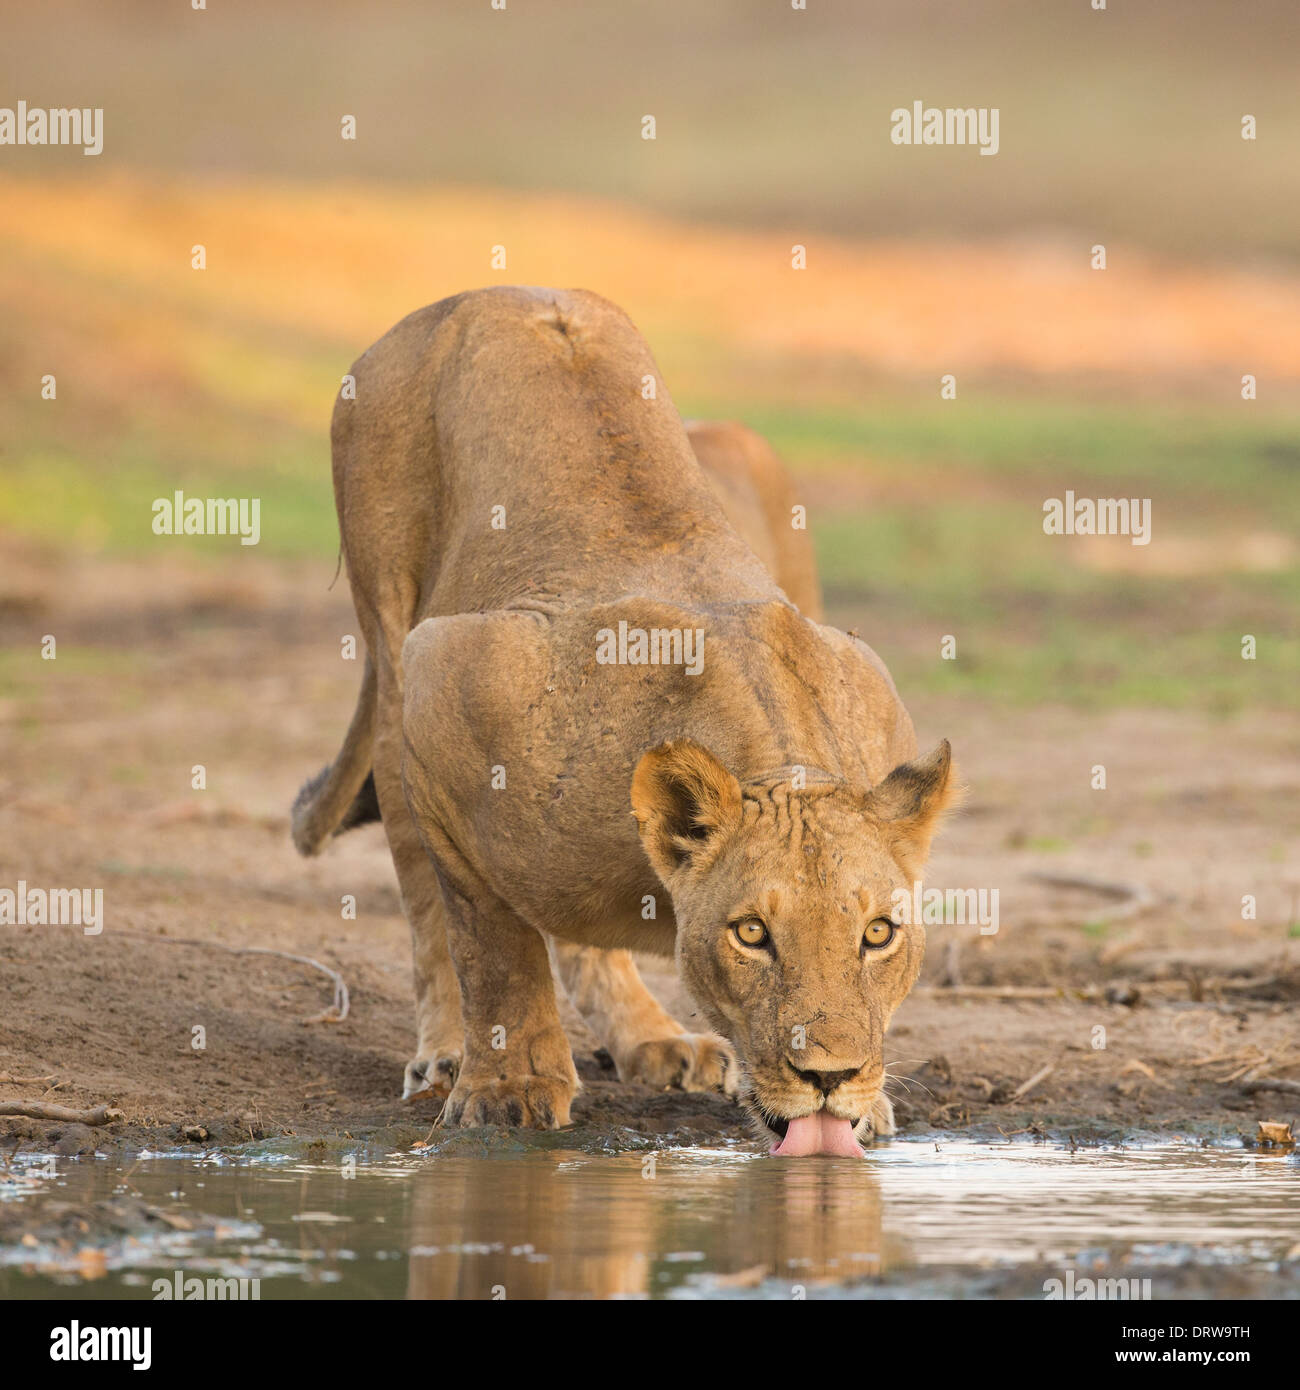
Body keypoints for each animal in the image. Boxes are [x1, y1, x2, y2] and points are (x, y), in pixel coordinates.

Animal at [292, 287, 956, 1154]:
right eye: (752, 934)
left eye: (878, 934)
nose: (830, 1076)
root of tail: (479, 295)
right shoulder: (447, 682)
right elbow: (488, 936)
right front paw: (507, 1087)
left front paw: (868, 1103)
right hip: (391, 623)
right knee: (425, 875)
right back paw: (445, 1054)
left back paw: (655, 1039)